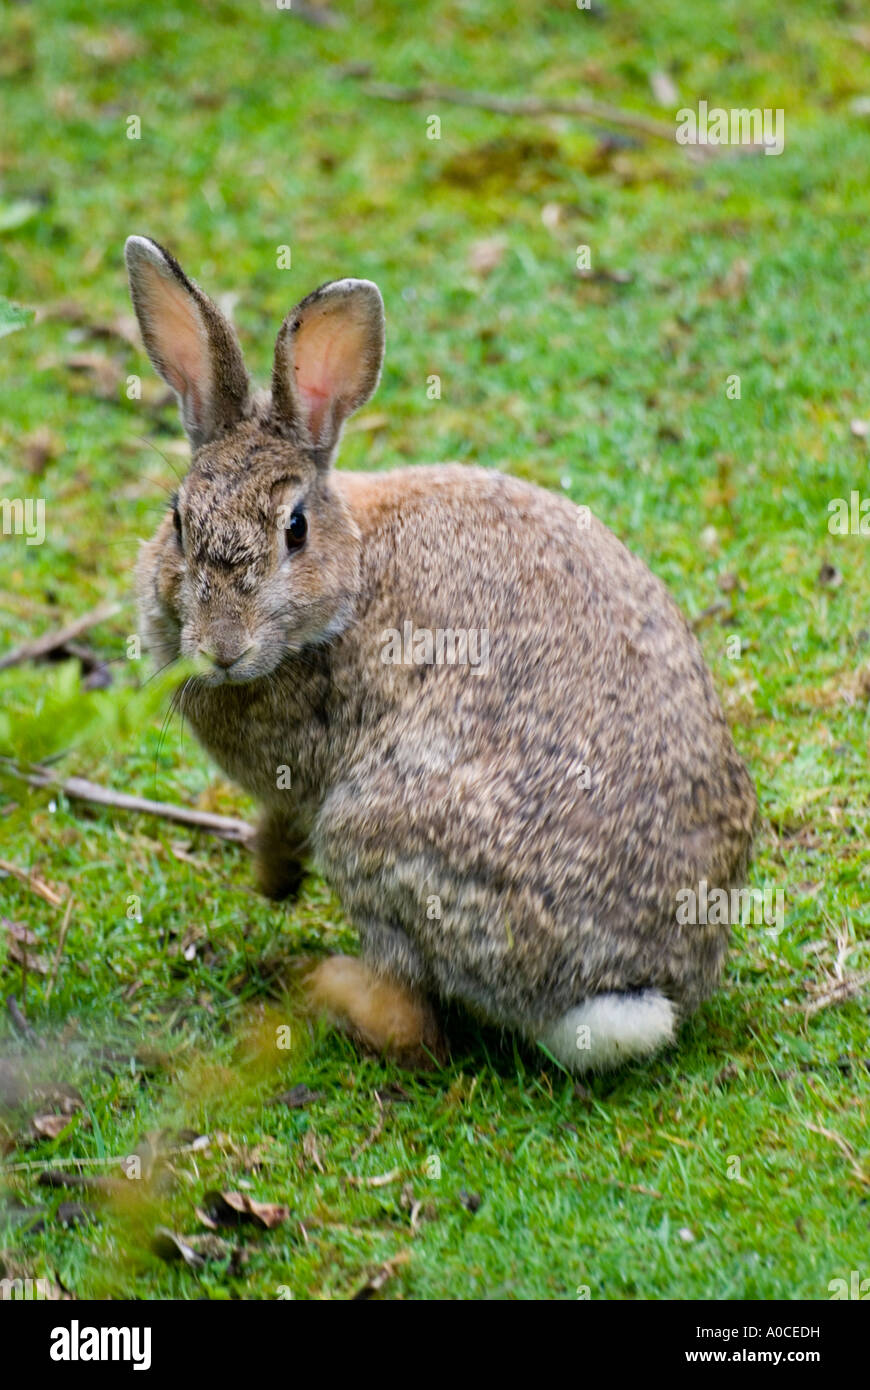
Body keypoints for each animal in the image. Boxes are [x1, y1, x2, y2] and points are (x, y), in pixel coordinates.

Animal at [127, 235, 757, 1073]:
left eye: (295, 529)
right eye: (178, 521)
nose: (222, 651)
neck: (354, 571)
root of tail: (625, 988)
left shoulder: (306, 772)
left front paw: (271, 878)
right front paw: (272, 878)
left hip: (374, 836)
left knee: (412, 1015)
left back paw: (322, 984)